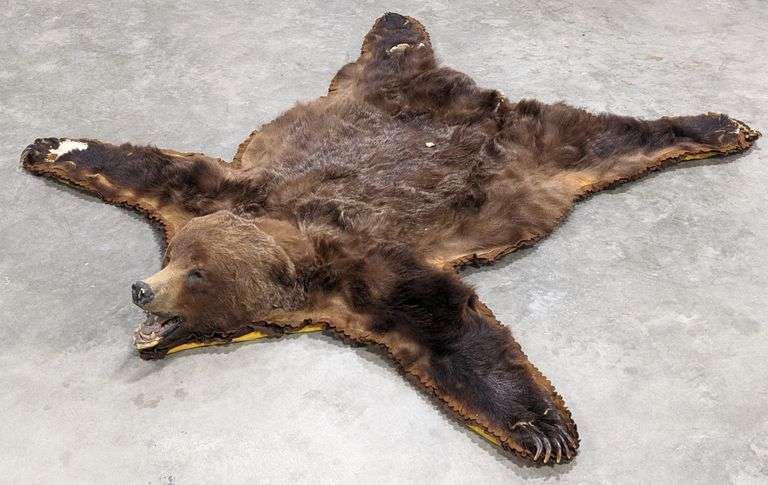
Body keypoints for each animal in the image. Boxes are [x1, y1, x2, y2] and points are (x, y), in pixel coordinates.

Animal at [20, 12, 759, 465]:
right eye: (175, 256)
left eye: (196, 275)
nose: (141, 289)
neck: (292, 250)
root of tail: (470, 94)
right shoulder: (222, 194)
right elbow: (155, 167)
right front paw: (51, 144)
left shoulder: (361, 268)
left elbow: (444, 321)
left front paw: (543, 427)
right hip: (377, 89)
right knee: (393, 53)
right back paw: (399, 25)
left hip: (541, 148)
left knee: (611, 137)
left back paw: (719, 126)